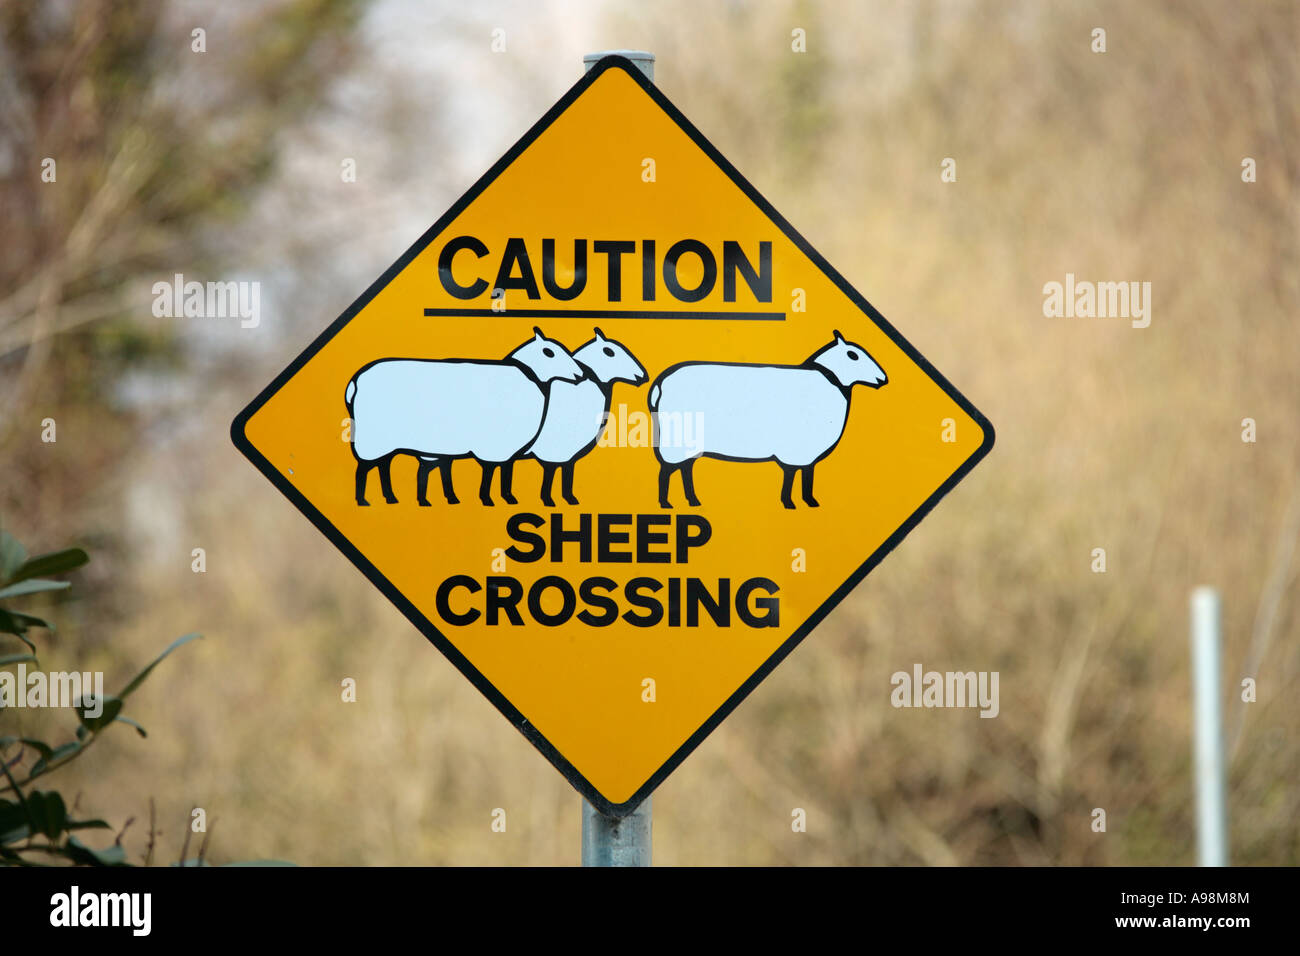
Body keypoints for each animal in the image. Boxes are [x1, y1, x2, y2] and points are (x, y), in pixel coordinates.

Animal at [345, 327, 582, 507]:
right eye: (549, 352)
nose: (579, 374)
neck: (528, 376)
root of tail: (355, 382)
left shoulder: (506, 449)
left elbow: (504, 472)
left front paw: (506, 498)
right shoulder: (493, 446)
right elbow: (491, 471)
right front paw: (488, 498)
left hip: (385, 442)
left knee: (383, 465)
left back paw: (391, 498)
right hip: (372, 440)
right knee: (364, 467)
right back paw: (363, 500)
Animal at [524, 328, 646, 506]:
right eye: (609, 351)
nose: (642, 375)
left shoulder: (568, 454)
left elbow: (567, 472)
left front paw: (569, 498)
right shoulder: (551, 450)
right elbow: (551, 472)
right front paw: (548, 499)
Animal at [648, 330, 887, 509]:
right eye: (853, 355)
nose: (883, 378)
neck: (831, 381)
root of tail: (660, 384)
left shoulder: (806, 454)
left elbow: (806, 476)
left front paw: (809, 501)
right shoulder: (794, 451)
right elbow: (791, 475)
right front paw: (789, 503)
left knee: (685, 469)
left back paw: (693, 501)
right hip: (674, 442)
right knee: (667, 470)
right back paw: (666, 503)